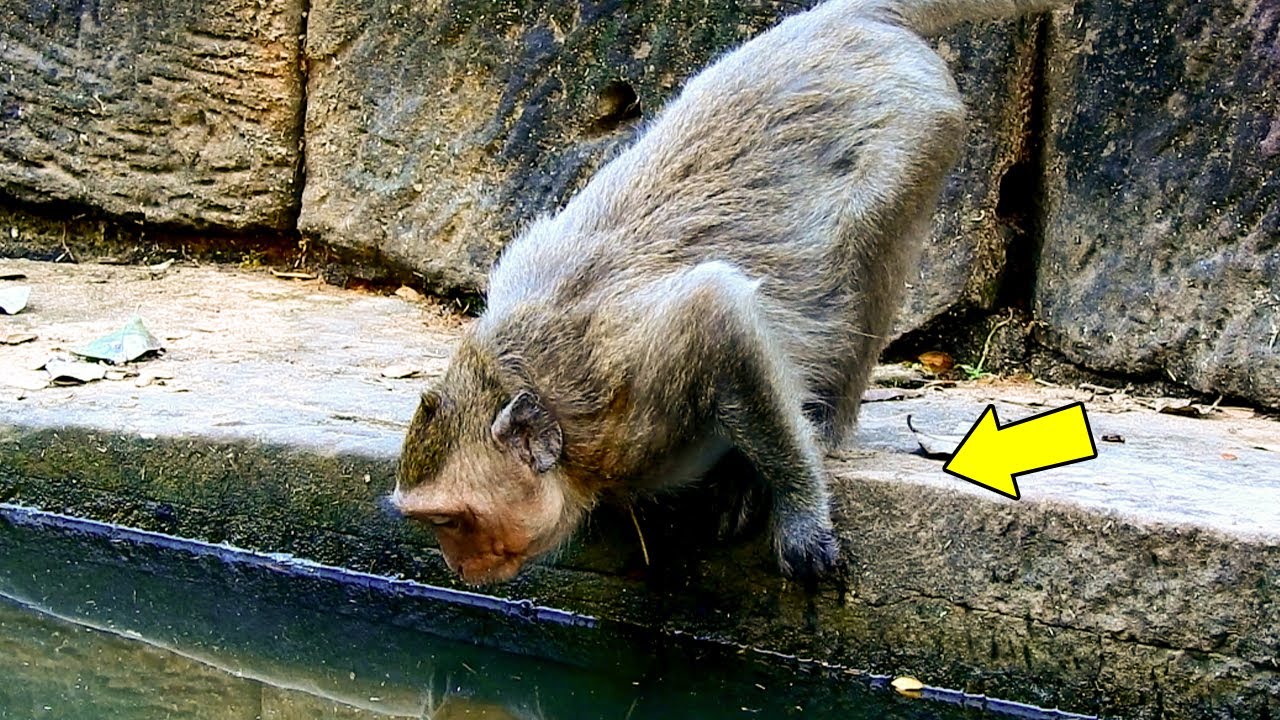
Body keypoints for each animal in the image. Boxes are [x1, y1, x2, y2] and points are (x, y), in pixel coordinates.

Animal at [392, 0, 1069, 586]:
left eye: (450, 520)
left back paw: (820, 426)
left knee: (867, 251)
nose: (455, 564)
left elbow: (718, 312)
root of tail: (848, 15)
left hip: (915, 128)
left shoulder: (629, 394)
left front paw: (799, 510)